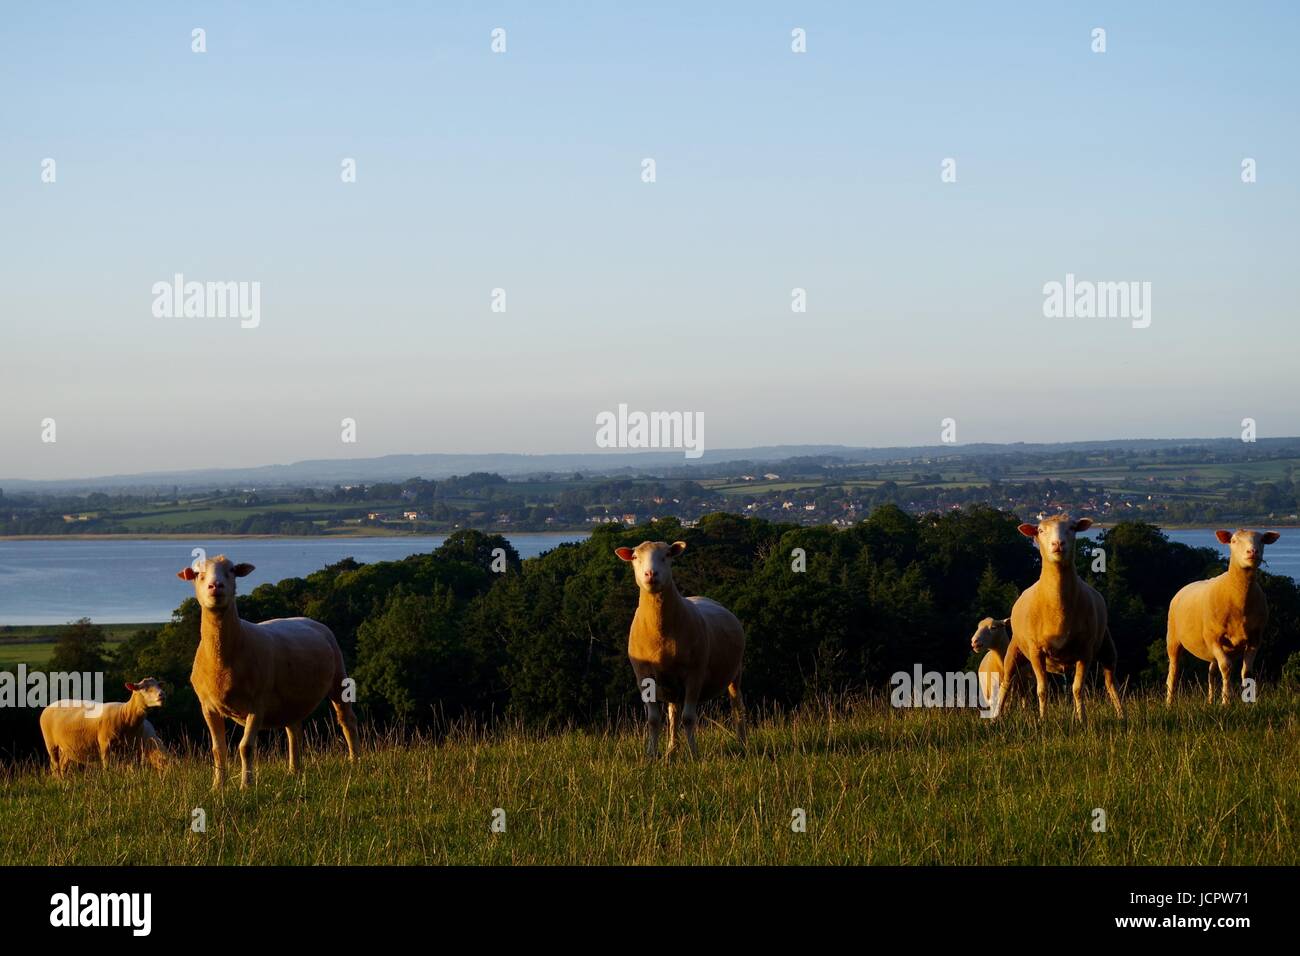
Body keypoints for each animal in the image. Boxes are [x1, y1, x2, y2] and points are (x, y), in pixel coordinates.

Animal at [178, 555, 359, 788]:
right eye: (198, 574)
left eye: (231, 571)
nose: (215, 586)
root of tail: (308, 620)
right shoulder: (208, 707)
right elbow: (218, 750)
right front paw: (217, 786)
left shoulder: (257, 704)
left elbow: (246, 747)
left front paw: (246, 785)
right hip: (291, 699)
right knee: (294, 730)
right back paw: (294, 770)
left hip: (338, 678)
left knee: (347, 720)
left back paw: (355, 761)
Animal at [615, 540, 746, 758]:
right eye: (634, 557)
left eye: (667, 555)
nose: (651, 574)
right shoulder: (644, 677)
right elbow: (654, 720)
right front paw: (651, 755)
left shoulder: (695, 674)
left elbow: (689, 718)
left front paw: (694, 754)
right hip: (672, 684)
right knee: (673, 714)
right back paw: (671, 750)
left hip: (735, 673)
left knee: (737, 707)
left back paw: (742, 744)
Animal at [993, 516, 1123, 720]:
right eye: (1040, 530)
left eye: (1072, 528)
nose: (1058, 543)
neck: (1057, 608)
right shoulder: (1036, 651)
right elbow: (1042, 690)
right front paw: (1042, 719)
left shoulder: (1085, 651)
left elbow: (1077, 689)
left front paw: (1081, 719)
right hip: (1014, 650)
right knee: (1006, 683)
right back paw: (996, 718)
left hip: (1107, 647)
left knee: (1112, 684)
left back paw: (1121, 715)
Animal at [1165, 529, 1279, 705]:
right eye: (1233, 541)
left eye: (1261, 540)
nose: (1252, 552)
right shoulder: (1214, 638)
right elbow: (1226, 668)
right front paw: (1226, 702)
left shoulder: (1255, 639)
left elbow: (1246, 672)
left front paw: (1247, 704)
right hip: (1173, 639)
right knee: (1173, 673)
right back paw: (1169, 704)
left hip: (1211, 652)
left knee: (1211, 673)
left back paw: (1210, 701)